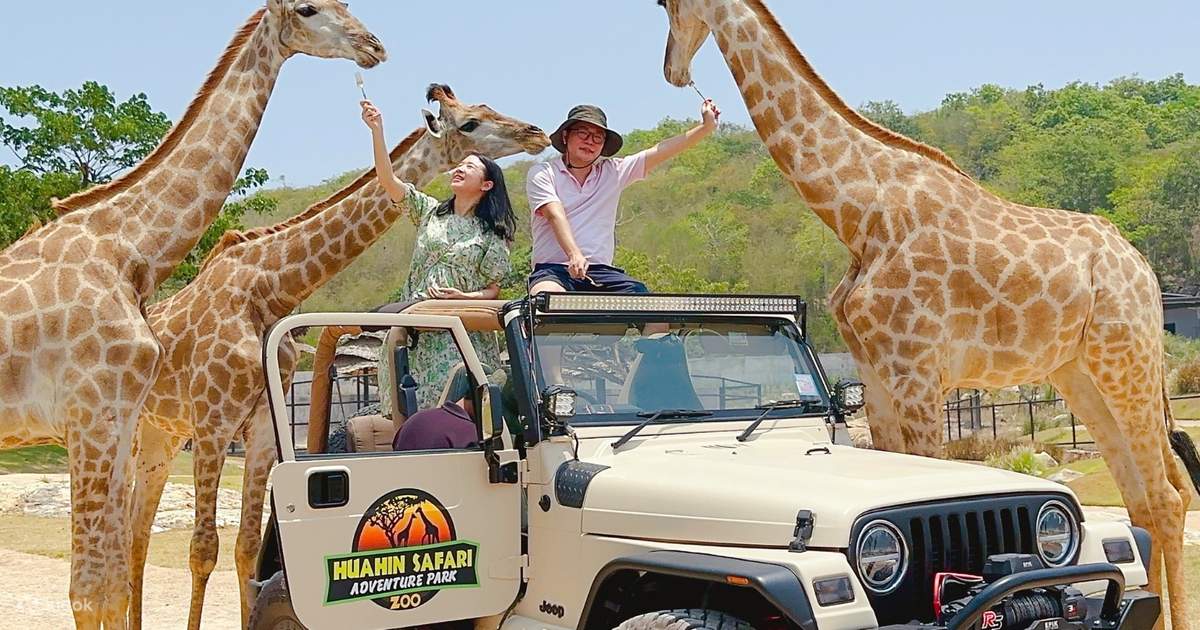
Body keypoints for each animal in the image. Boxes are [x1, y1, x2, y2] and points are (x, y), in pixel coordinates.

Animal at [0, 3, 384, 628]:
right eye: (309, 9)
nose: (374, 45)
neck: (127, 248)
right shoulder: (99, 418)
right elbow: (92, 587)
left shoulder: (124, 423)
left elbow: (113, 578)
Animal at [127, 84, 548, 629]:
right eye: (471, 123)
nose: (537, 133)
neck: (268, 287)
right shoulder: (215, 420)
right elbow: (203, 549)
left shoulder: (259, 424)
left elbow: (245, 548)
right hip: (137, 430)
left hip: (164, 433)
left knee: (136, 532)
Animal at [653, 0, 1199, 622]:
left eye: (665, 6)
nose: (671, 70)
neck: (856, 215)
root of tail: (1143, 269)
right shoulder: (877, 372)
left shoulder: (916, 369)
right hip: (1079, 372)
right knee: (1141, 497)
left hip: (1126, 358)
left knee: (1166, 495)